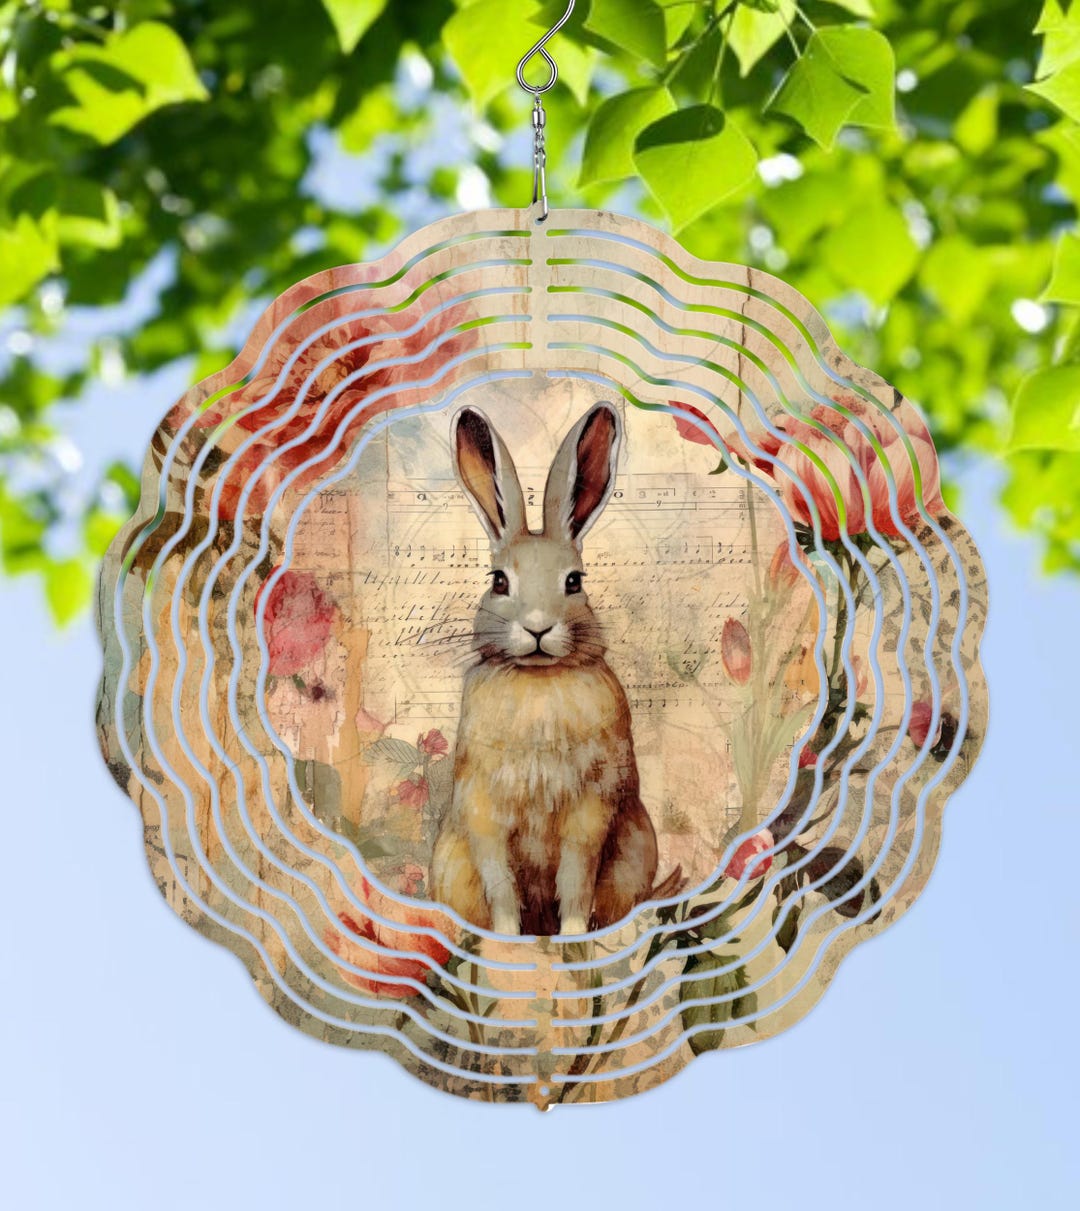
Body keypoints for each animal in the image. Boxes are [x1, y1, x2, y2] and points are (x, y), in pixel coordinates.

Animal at [430, 402, 659, 936]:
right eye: (498, 581)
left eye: (574, 582)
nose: (537, 627)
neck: (537, 680)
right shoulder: (483, 811)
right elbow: (500, 883)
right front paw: (508, 938)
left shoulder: (589, 811)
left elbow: (576, 880)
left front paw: (571, 935)